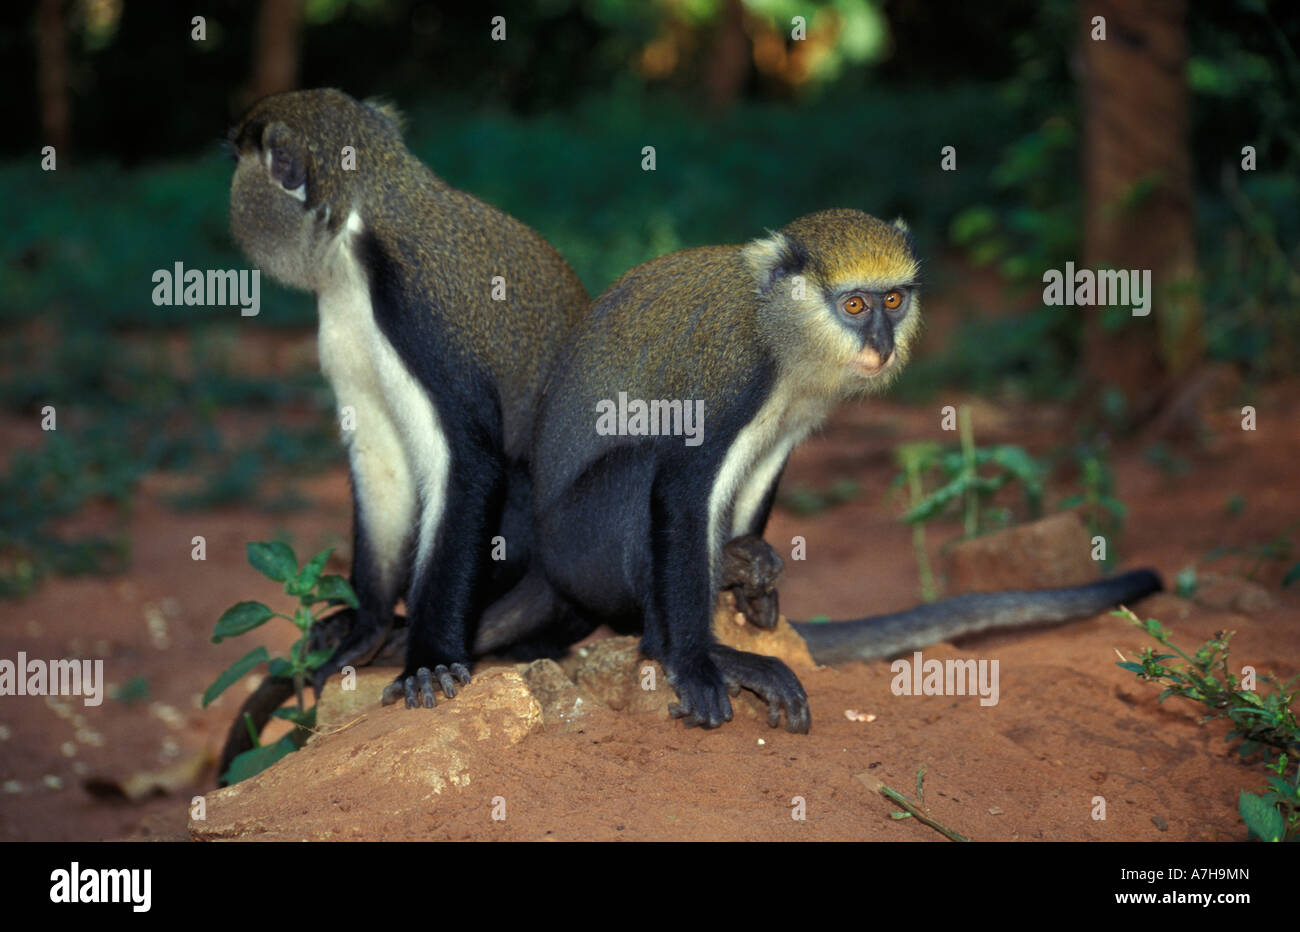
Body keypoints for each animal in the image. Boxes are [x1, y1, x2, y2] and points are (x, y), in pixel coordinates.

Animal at [227, 88, 589, 707]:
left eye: (241, 157)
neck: (358, 228)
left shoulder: (414, 314)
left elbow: (469, 465)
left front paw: (431, 657)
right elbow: (384, 465)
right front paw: (365, 627)